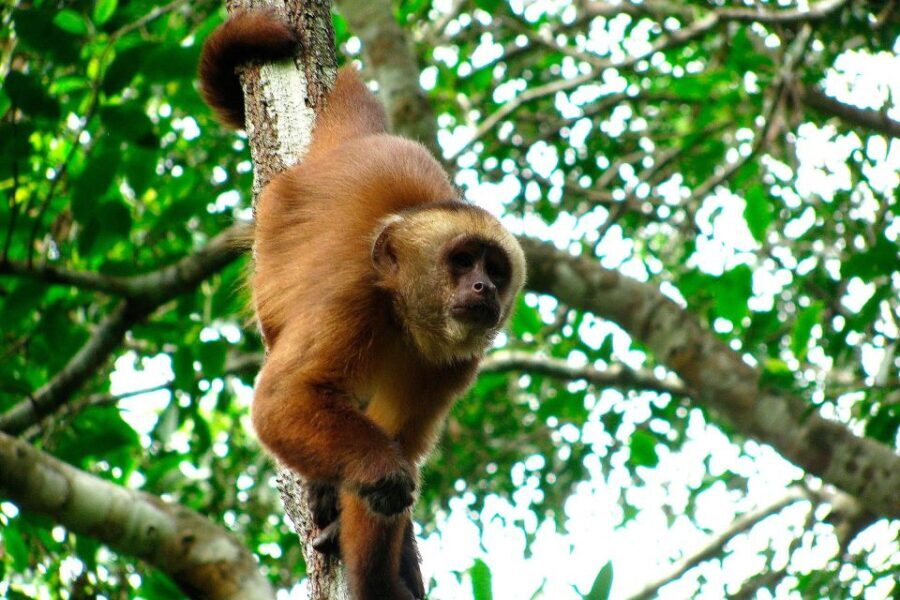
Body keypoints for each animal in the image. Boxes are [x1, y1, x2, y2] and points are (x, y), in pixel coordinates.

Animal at [199, 11, 526, 600]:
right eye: (463, 262)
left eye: (494, 269)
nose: (483, 290)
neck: (402, 318)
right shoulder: (352, 301)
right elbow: (281, 403)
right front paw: (379, 478)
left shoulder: (455, 363)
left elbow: (396, 448)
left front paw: (382, 576)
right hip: (275, 221)